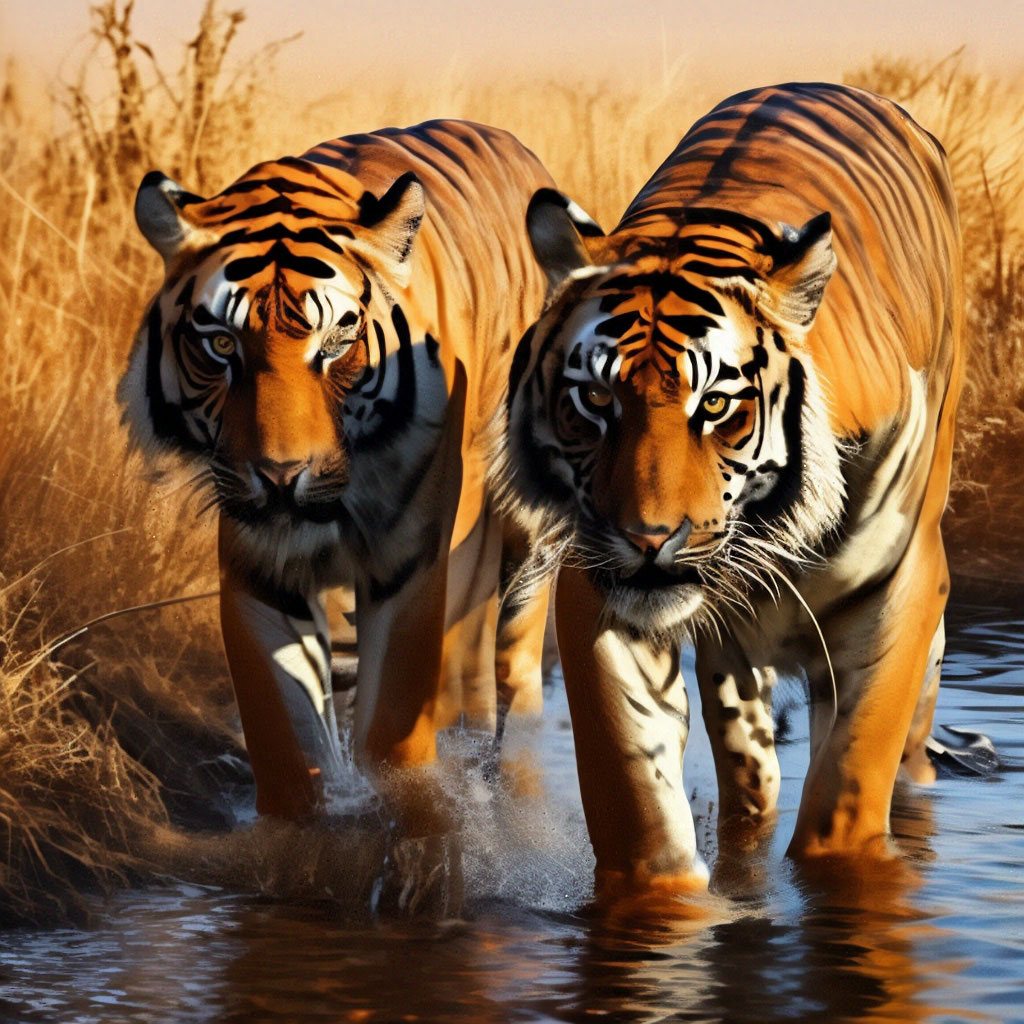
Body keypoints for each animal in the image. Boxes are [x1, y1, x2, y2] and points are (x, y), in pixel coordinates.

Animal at [118, 120, 555, 831]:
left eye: (336, 343)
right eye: (221, 345)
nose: (280, 476)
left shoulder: (411, 564)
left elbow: (393, 735)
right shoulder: (262, 573)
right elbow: (290, 746)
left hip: (524, 529)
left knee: (509, 661)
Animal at [500, 82, 963, 896]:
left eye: (715, 405)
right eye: (596, 400)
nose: (650, 539)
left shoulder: (899, 584)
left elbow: (849, 788)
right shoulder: (600, 587)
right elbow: (638, 799)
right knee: (749, 771)